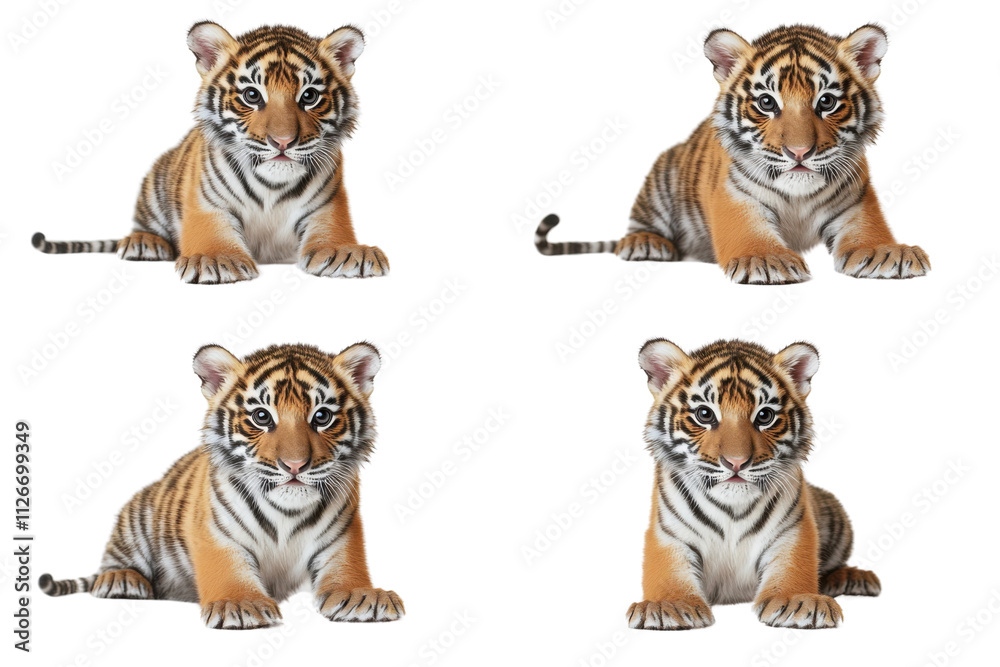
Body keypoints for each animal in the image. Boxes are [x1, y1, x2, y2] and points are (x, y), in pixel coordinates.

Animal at [32, 22, 388, 284]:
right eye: (251, 95)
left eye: (310, 96)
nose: (283, 142)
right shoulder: (207, 204)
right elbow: (212, 233)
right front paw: (217, 259)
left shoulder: (328, 205)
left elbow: (332, 232)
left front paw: (347, 253)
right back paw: (144, 242)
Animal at [39, 342, 404, 629]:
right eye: (261, 417)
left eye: (322, 416)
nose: (295, 465)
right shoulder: (216, 535)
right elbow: (229, 570)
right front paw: (241, 604)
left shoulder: (342, 537)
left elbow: (347, 569)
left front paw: (362, 596)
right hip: (135, 518)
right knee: (115, 559)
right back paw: (121, 579)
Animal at [535, 24, 930, 284]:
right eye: (767, 103)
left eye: (827, 102)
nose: (799, 151)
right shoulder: (735, 197)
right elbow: (749, 232)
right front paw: (766, 260)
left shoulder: (857, 201)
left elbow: (868, 232)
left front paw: (887, 252)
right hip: (661, 179)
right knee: (641, 224)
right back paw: (645, 243)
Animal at [627, 339, 879, 630]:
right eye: (704, 414)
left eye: (765, 415)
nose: (736, 462)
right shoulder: (669, 536)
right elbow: (667, 573)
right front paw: (667, 605)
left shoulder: (792, 532)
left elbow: (794, 567)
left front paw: (800, 601)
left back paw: (851, 578)